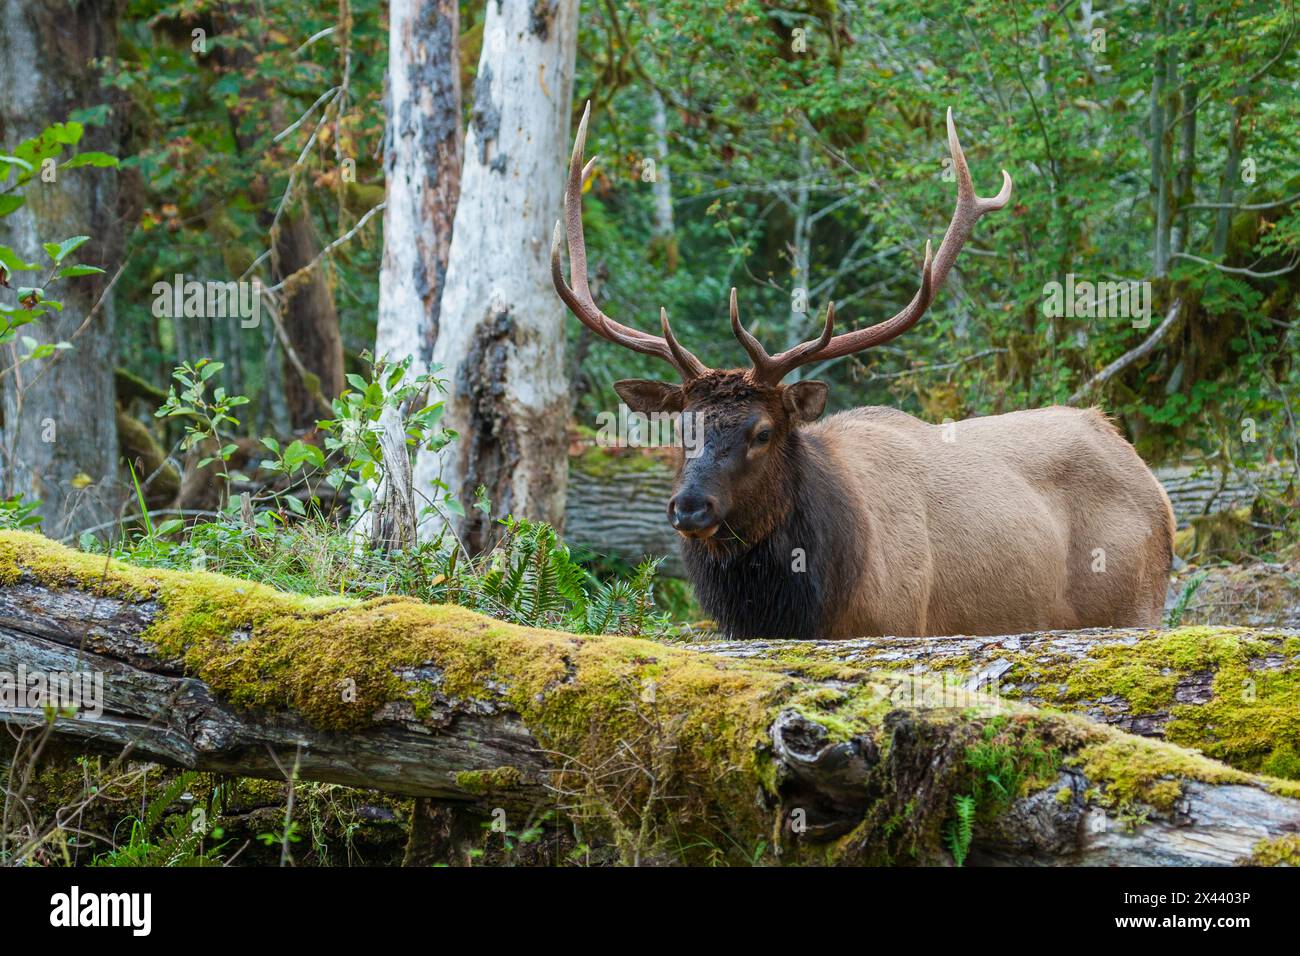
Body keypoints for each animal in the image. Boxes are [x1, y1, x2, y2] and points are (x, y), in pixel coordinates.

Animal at [552, 104, 1175, 639]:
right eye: (681, 428)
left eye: (762, 432)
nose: (690, 506)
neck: (805, 608)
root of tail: (1156, 490)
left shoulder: (899, 625)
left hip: (1135, 606)